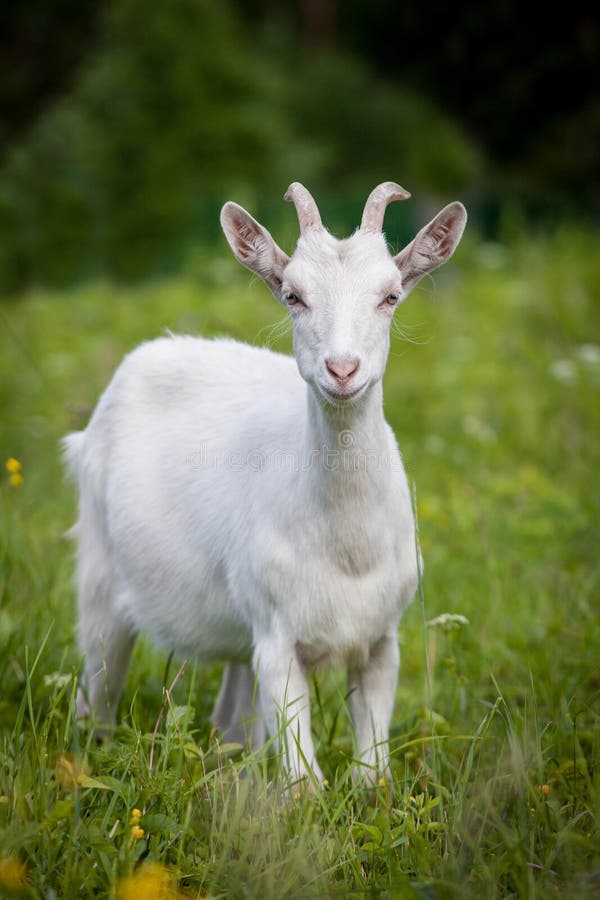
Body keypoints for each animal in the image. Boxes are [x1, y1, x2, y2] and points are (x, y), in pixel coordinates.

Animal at [63, 182, 466, 787]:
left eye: (391, 296)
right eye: (293, 295)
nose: (342, 370)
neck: (347, 550)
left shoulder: (382, 637)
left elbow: (373, 774)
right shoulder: (278, 637)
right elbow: (304, 785)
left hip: (237, 626)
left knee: (230, 719)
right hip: (101, 577)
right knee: (97, 692)